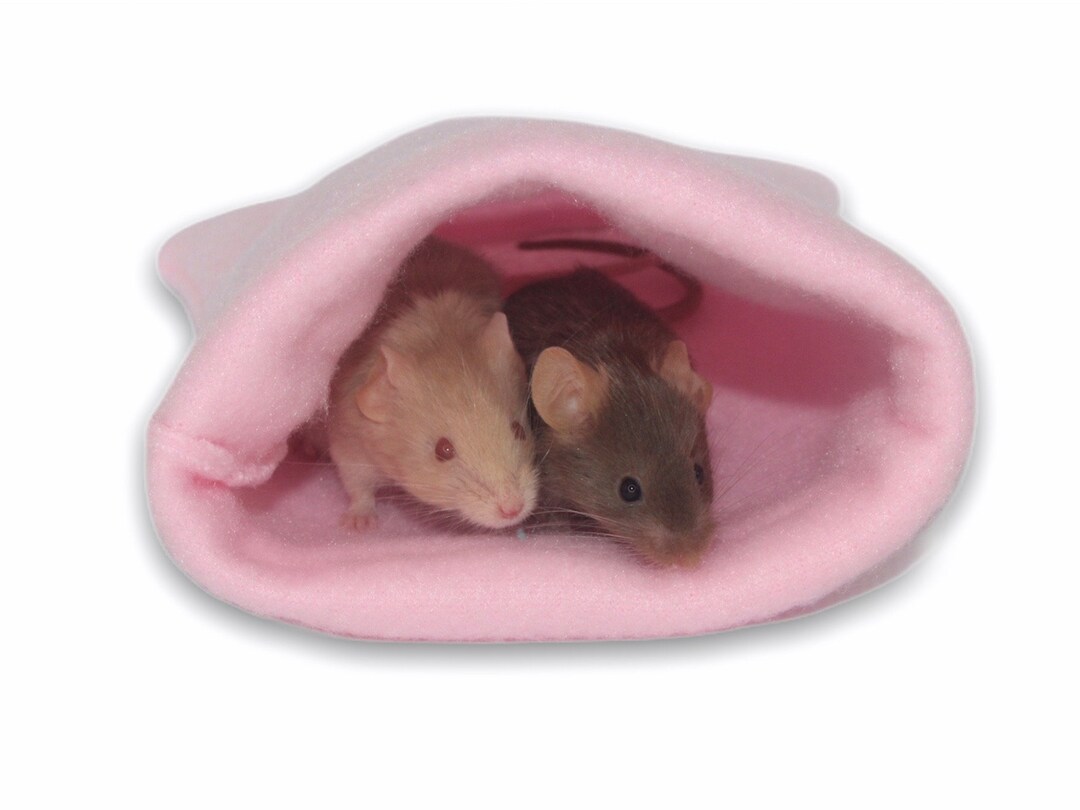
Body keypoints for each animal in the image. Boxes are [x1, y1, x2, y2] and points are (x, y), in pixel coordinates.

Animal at [327, 237, 539, 531]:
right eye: (443, 450)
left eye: (519, 430)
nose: (513, 510)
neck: (435, 335)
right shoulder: (349, 444)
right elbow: (358, 486)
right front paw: (359, 523)